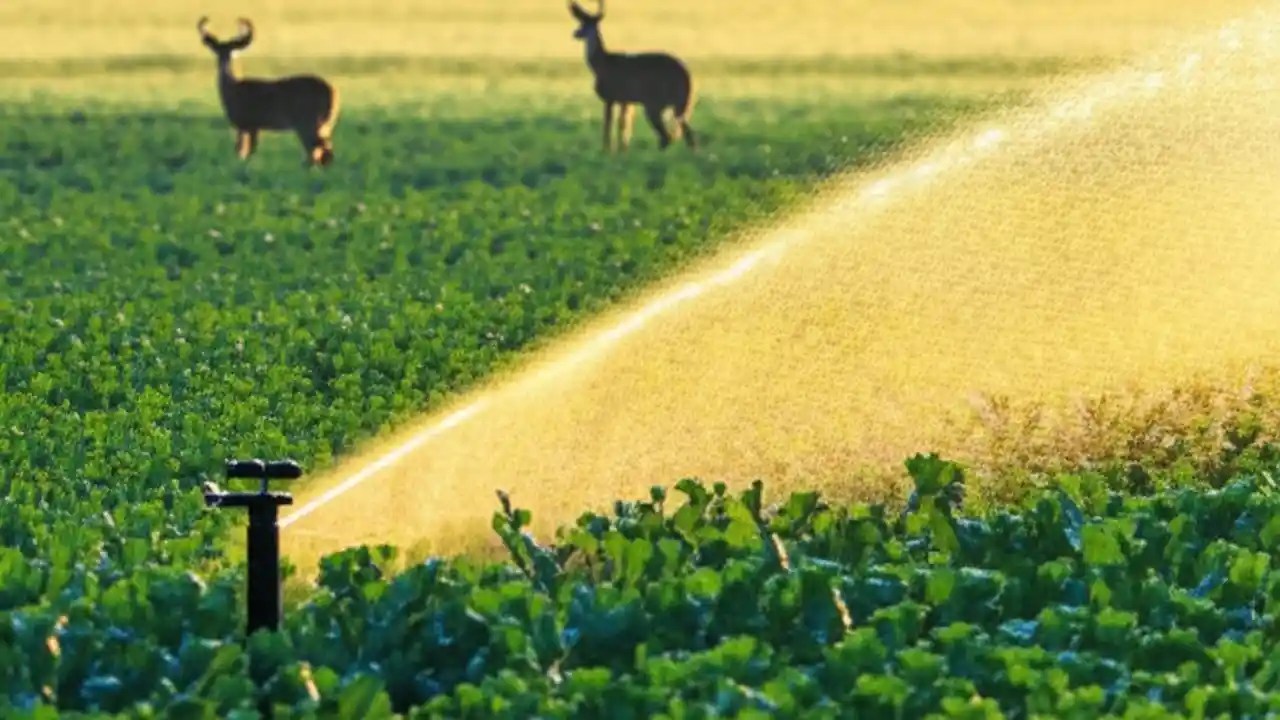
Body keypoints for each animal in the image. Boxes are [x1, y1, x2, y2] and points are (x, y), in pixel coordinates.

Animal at [196, 17, 341, 167]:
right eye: (218, 52)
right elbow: (242, 150)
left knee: (318, 150)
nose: (224, 66)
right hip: (324, 123)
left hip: (308, 120)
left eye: (232, 52)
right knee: (322, 150)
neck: (233, 90)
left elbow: (245, 150)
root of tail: (333, 93)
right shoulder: (247, 126)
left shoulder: (249, 122)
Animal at [568, 0, 698, 153]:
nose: (575, 33)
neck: (602, 64)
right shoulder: (625, 100)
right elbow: (622, 125)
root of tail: (687, 75)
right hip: (678, 104)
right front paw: (621, 151)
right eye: (581, 22)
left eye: (586, 24)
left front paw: (606, 151)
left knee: (667, 136)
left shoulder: (610, 96)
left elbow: (608, 125)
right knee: (683, 133)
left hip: (655, 102)